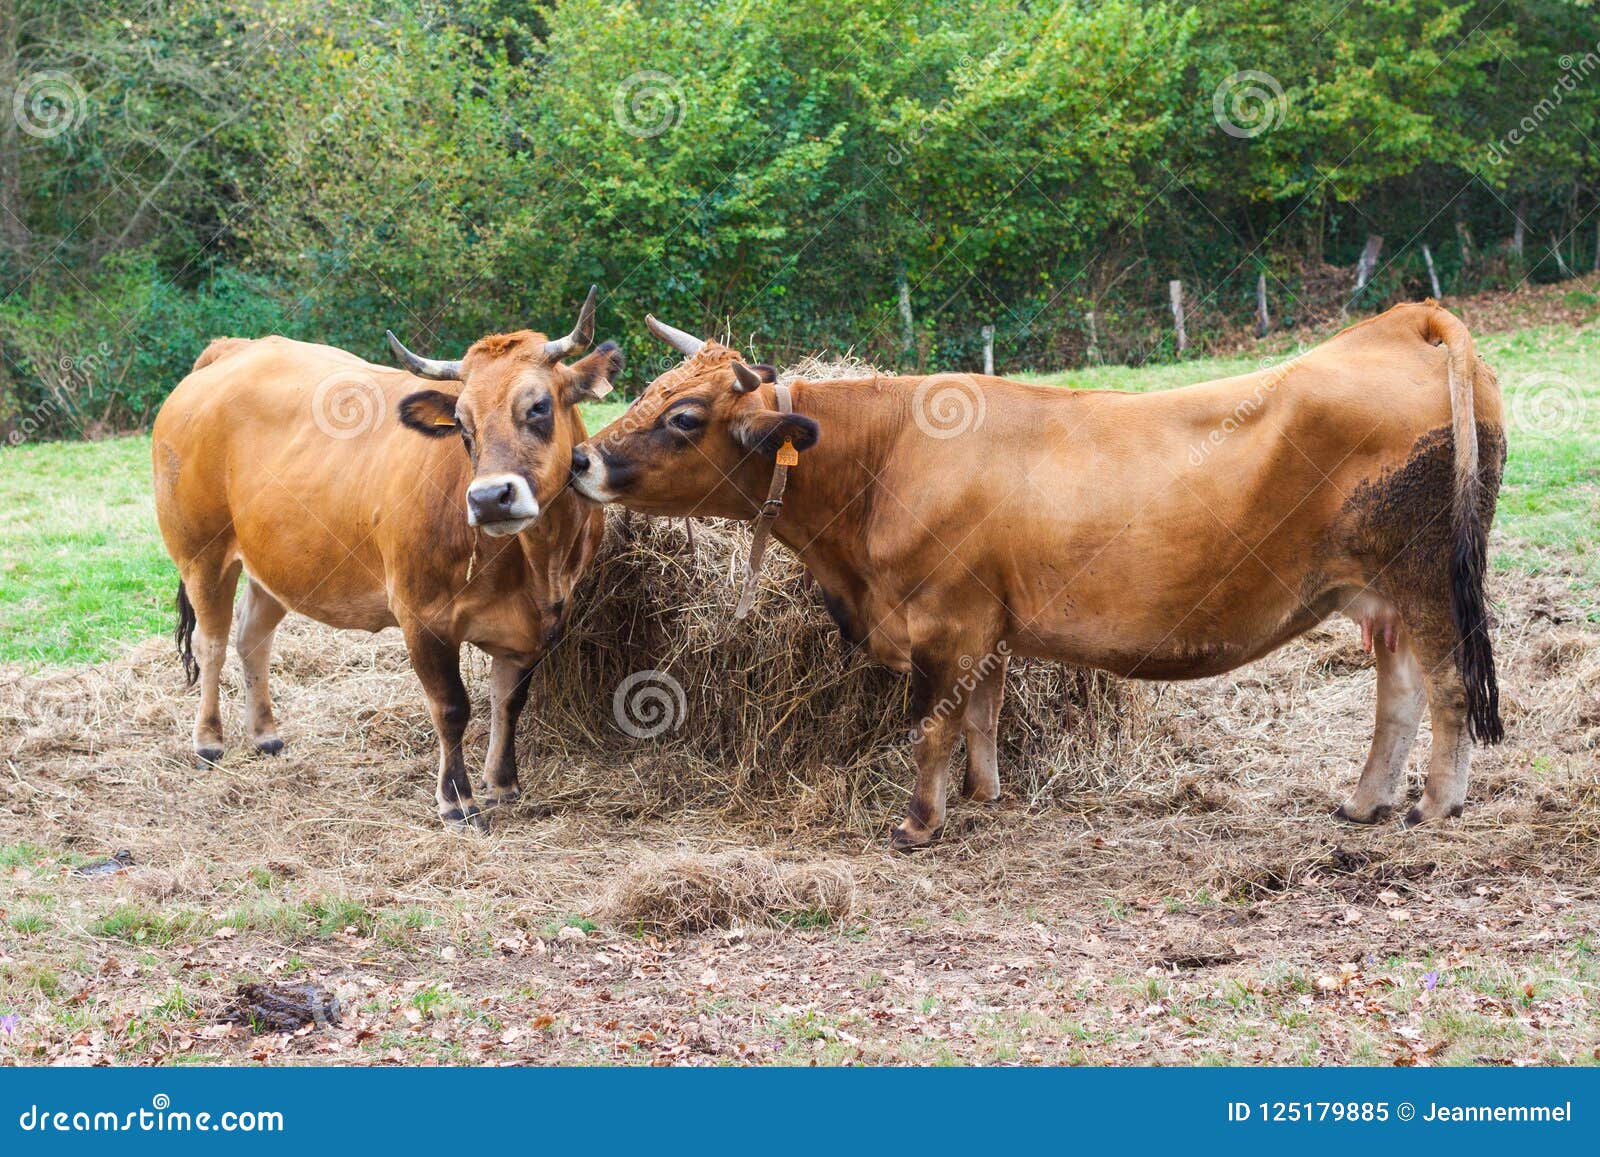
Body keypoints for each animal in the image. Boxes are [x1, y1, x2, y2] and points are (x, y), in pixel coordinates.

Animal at [152, 290, 622, 831]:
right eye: (462, 426)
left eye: (539, 406)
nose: (489, 498)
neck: (536, 563)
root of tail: (232, 349)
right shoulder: (422, 619)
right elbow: (452, 708)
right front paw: (456, 799)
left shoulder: (538, 624)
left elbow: (509, 703)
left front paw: (503, 784)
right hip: (202, 553)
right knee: (211, 643)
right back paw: (209, 740)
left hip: (275, 562)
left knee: (252, 636)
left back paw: (265, 733)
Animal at [570, 303, 1506, 850]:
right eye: (651, 387)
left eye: (685, 416)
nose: (581, 459)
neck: (884, 456)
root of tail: (1405, 320)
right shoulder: (987, 625)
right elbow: (983, 717)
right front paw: (984, 797)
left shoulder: (943, 623)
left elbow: (932, 726)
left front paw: (919, 822)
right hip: (1381, 593)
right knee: (1398, 696)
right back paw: (1365, 801)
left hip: (1427, 579)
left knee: (1450, 687)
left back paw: (1435, 805)